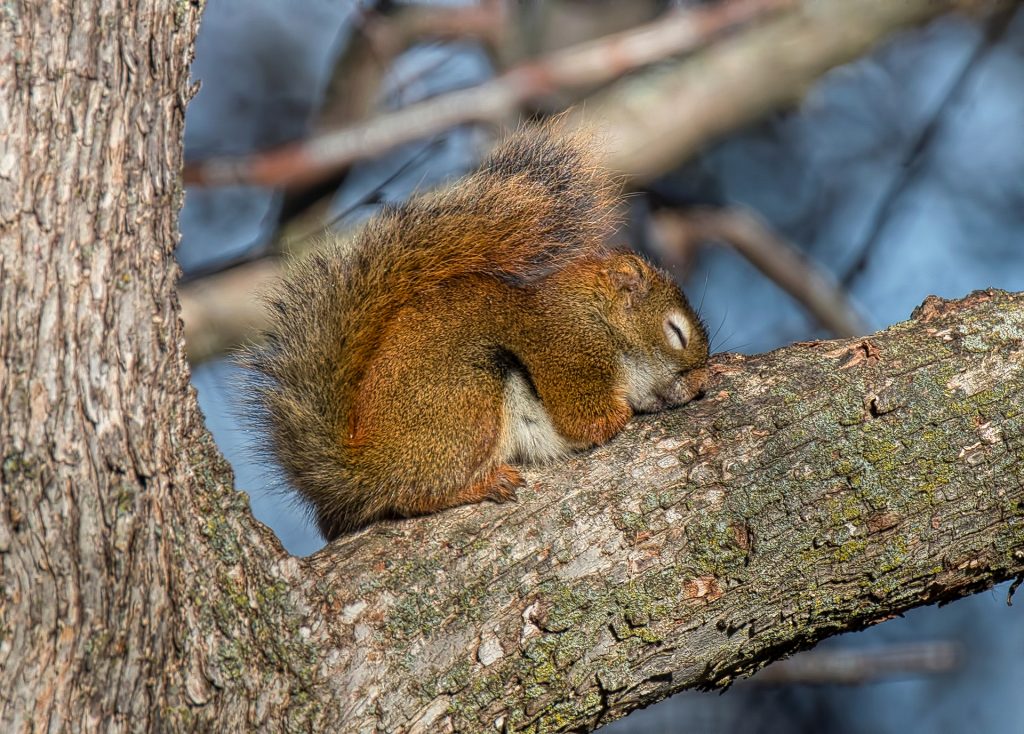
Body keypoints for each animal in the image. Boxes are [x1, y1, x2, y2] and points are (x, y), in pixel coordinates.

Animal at [242, 126, 710, 540]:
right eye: (676, 332)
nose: (701, 380)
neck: (596, 317)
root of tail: (368, 463)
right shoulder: (569, 351)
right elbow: (586, 419)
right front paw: (646, 403)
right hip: (467, 404)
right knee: (412, 496)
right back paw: (481, 485)